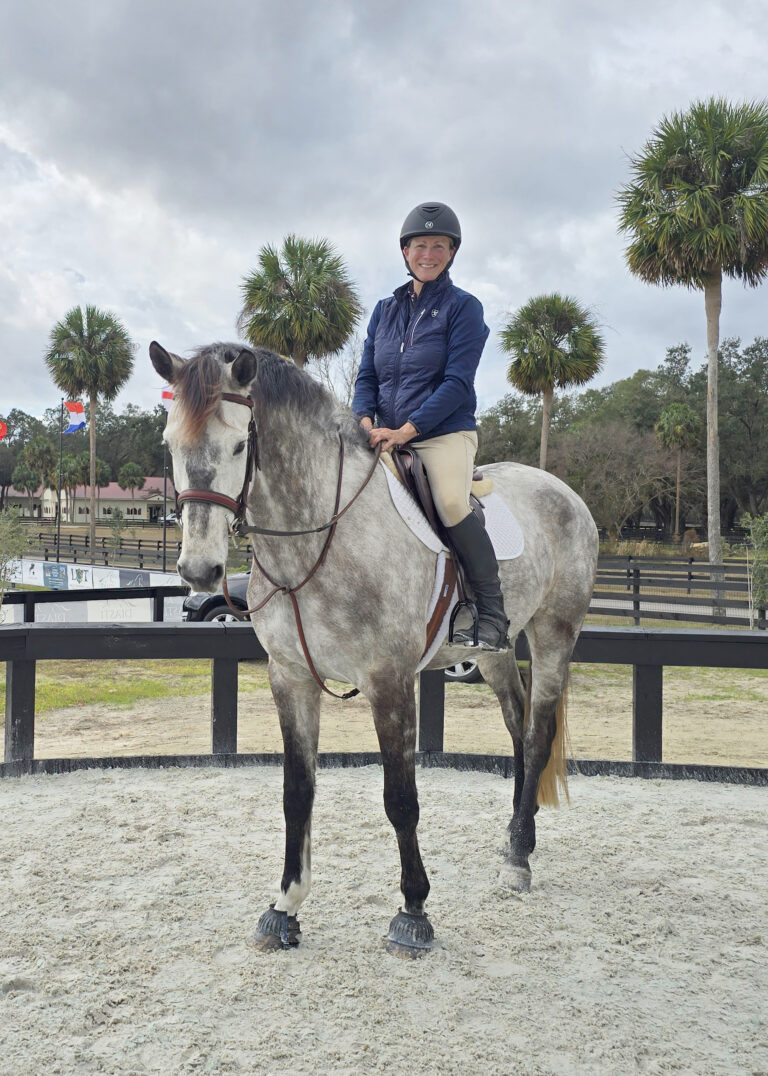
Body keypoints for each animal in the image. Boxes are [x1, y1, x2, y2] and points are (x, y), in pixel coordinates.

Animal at [150, 340, 599, 956]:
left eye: (240, 445)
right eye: (170, 444)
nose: (199, 571)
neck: (319, 538)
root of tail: (562, 491)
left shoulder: (389, 682)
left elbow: (400, 800)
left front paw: (413, 912)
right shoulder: (290, 678)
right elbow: (297, 792)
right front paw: (285, 907)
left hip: (555, 633)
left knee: (537, 734)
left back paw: (519, 861)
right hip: (495, 650)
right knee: (517, 724)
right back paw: (514, 838)